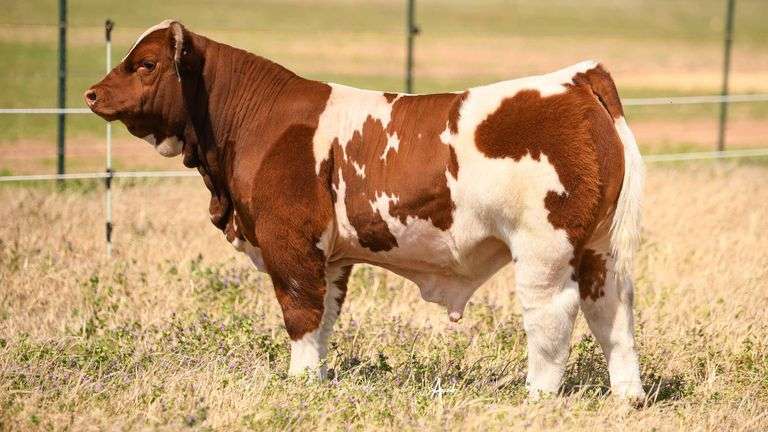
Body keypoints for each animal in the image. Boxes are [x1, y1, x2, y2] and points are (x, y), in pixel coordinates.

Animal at [85, 20, 645, 401]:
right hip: (600, 250)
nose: (91, 93)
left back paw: (538, 395)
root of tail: (575, 79)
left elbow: (300, 313)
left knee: (553, 313)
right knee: (612, 311)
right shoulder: (330, 257)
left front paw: (299, 381)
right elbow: (325, 316)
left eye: (146, 64)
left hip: (544, 247)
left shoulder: (290, 242)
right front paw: (316, 378)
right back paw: (628, 397)